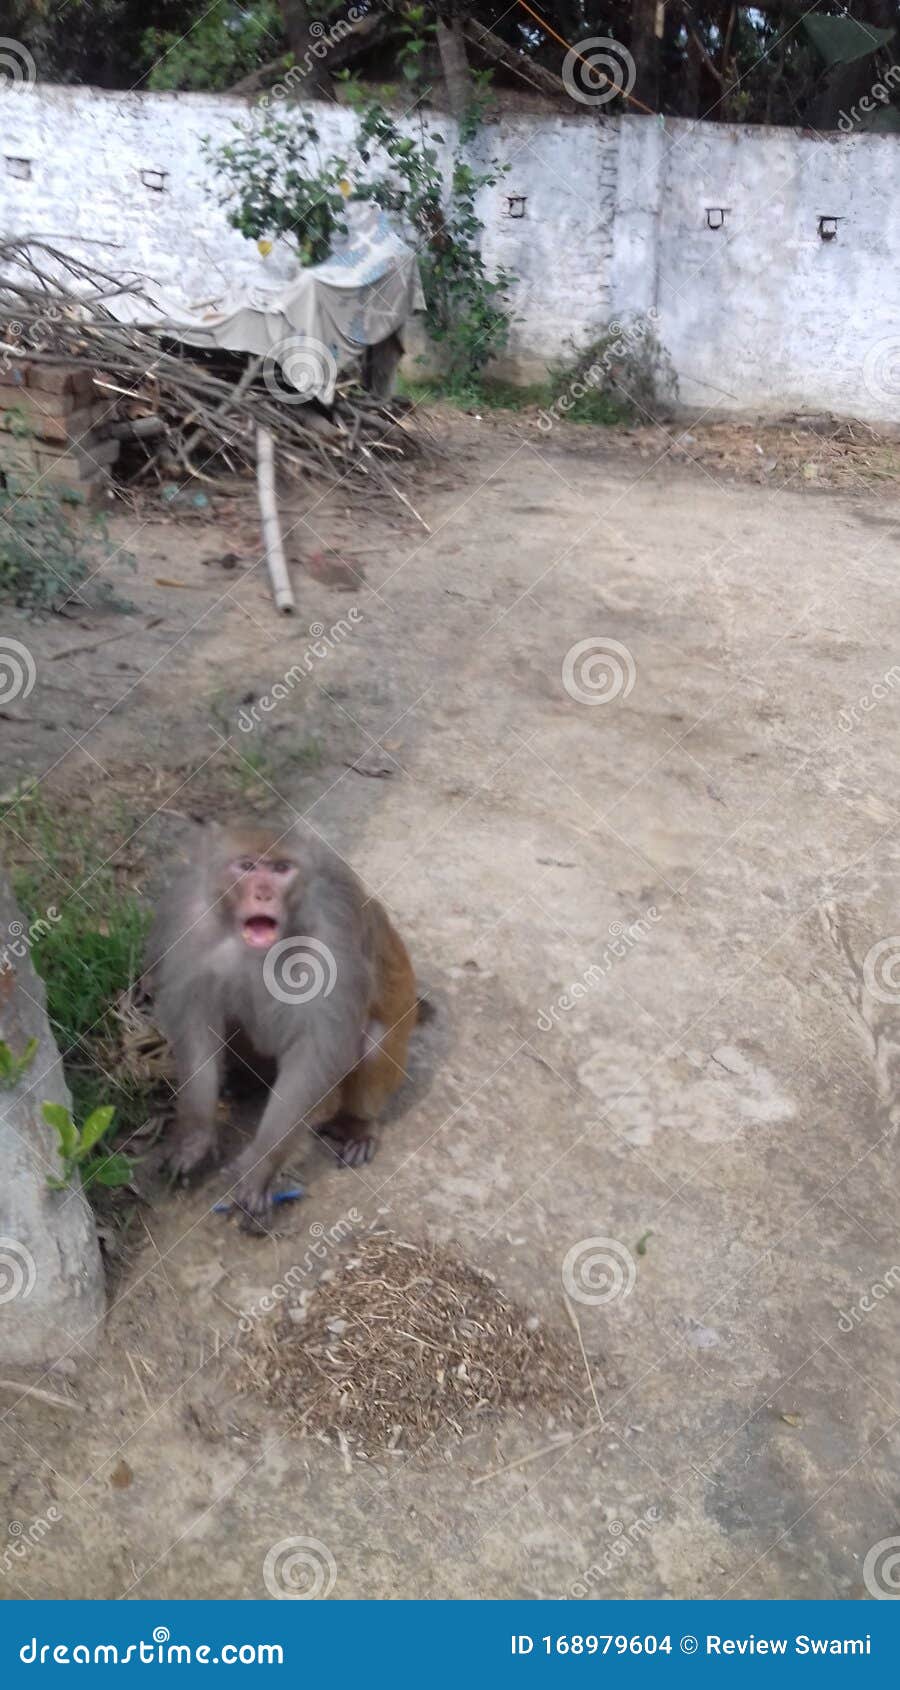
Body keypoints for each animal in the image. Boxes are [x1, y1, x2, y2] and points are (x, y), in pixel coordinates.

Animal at [144, 822, 420, 1228]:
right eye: (246, 866)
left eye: (280, 869)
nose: (263, 894)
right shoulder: (190, 923)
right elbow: (197, 1027)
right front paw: (193, 1138)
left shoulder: (333, 931)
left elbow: (314, 1054)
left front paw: (258, 1169)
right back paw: (243, 1083)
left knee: (371, 1043)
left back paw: (355, 1125)